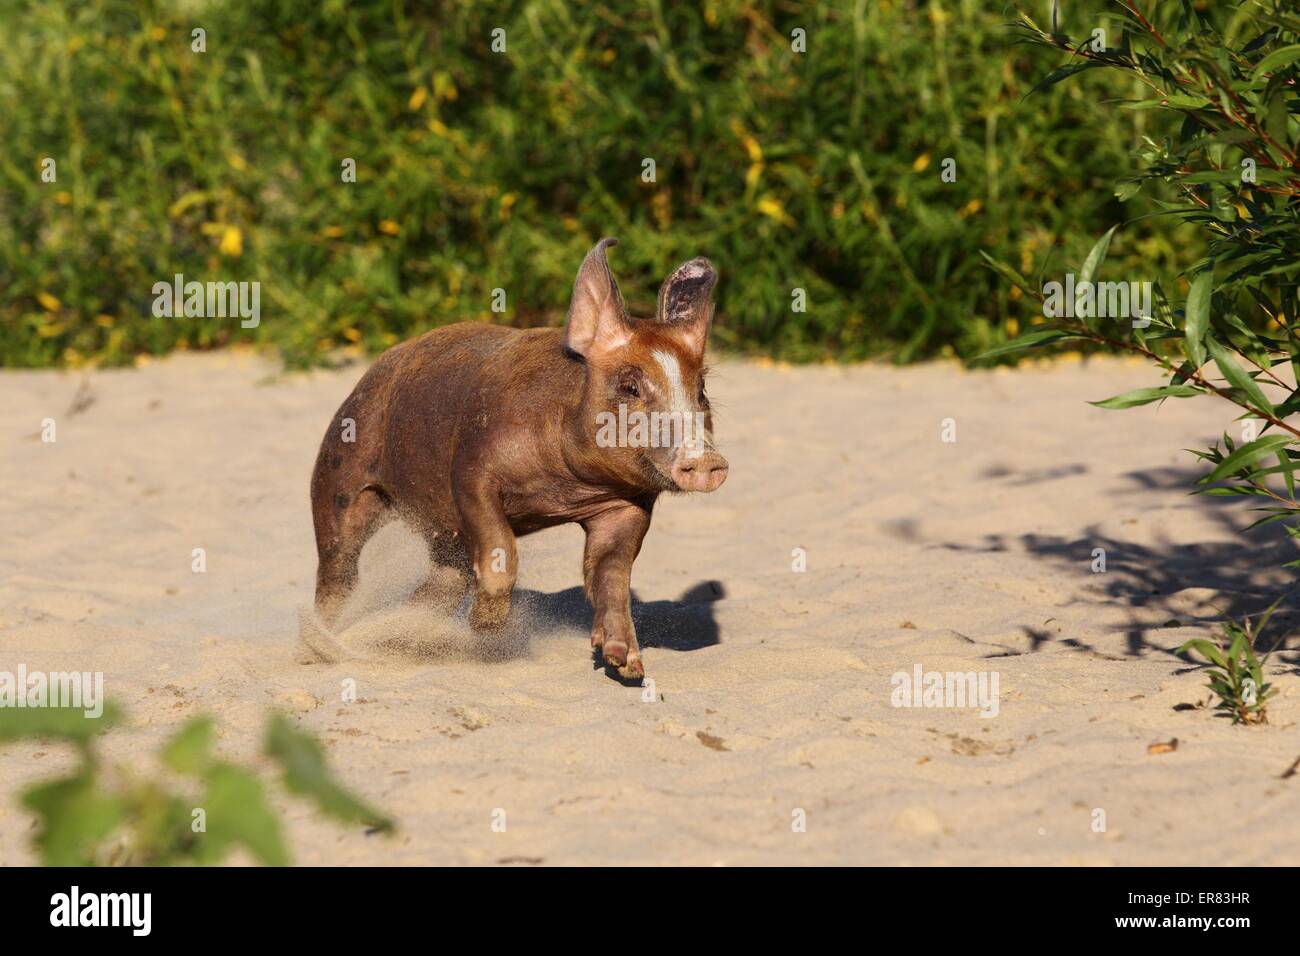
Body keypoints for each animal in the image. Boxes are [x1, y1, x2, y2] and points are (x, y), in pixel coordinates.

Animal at [306, 238, 728, 679]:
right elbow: (500, 543)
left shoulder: (627, 507)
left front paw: (626, 666)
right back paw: (318, 647)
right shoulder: (471, 472)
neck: (568, 487)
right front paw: (486, 626)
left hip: (443, 536)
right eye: (630, 387)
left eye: (700, 391)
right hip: (339, 474)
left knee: (441, 582)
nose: (708, 460)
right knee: (338, 567)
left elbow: (612, 572)